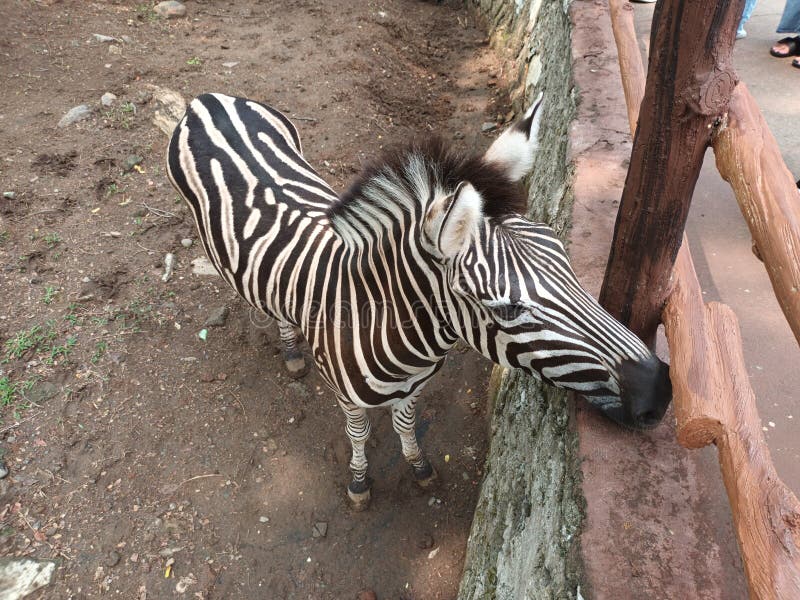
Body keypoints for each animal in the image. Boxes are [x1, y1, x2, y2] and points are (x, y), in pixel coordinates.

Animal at [166, 92, 672, 509]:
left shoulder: (416, 386)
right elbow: (359, 433)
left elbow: (406, 425)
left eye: (565, 258)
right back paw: (291, 348)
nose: (660, 391)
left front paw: (419, 467)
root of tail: (209, 97)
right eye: (507, 308)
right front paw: (359, 482)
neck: (396, 335)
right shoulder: (348, 398)